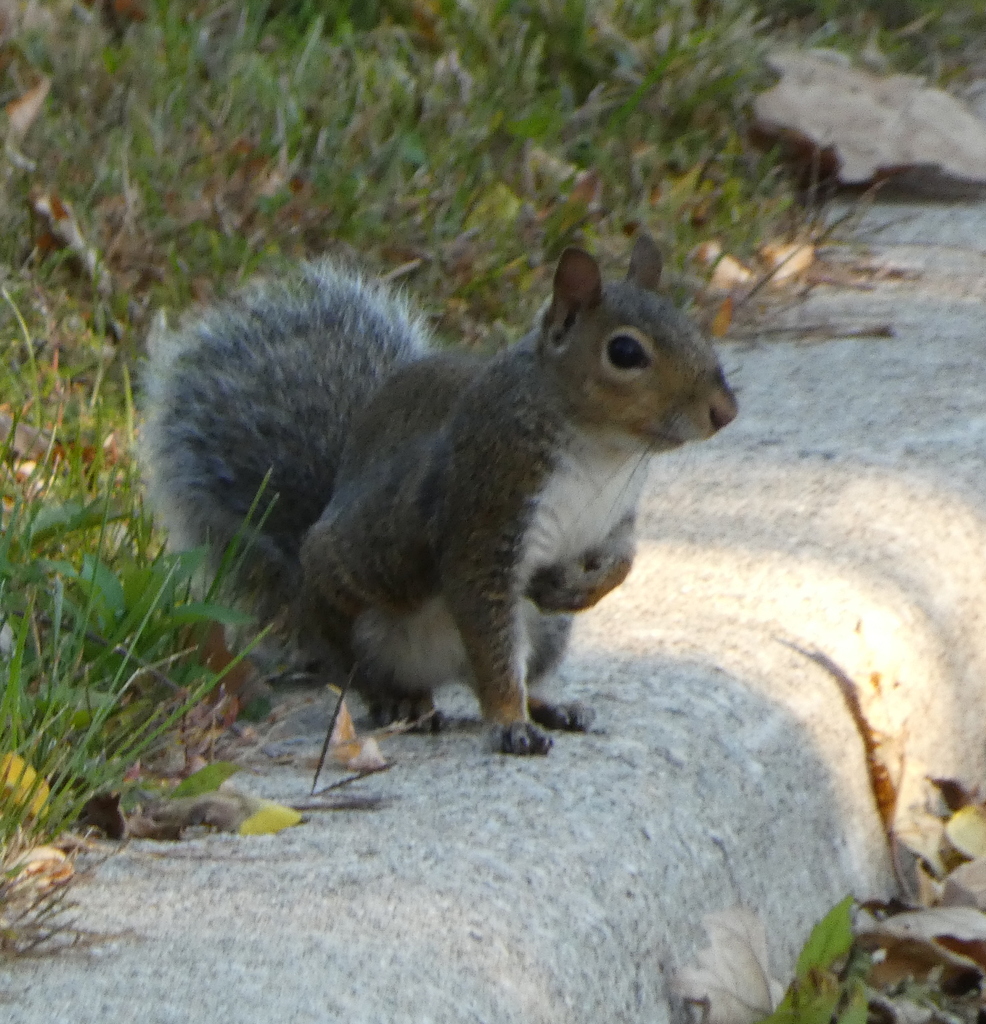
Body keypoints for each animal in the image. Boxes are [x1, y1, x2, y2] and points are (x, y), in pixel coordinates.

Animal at [141, 233, 737, 755]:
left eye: (693, 327)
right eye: (626, 352)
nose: (724, 411)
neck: (603, 454)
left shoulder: (614, 518)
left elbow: (621, 562)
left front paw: (578, 587)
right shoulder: (487, 512)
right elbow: (488, 630)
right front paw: (509, 726)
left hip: (547, 633)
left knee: (515, 669)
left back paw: (550, 705)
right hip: (363, 625)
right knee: (420, 674)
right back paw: (404, 702)